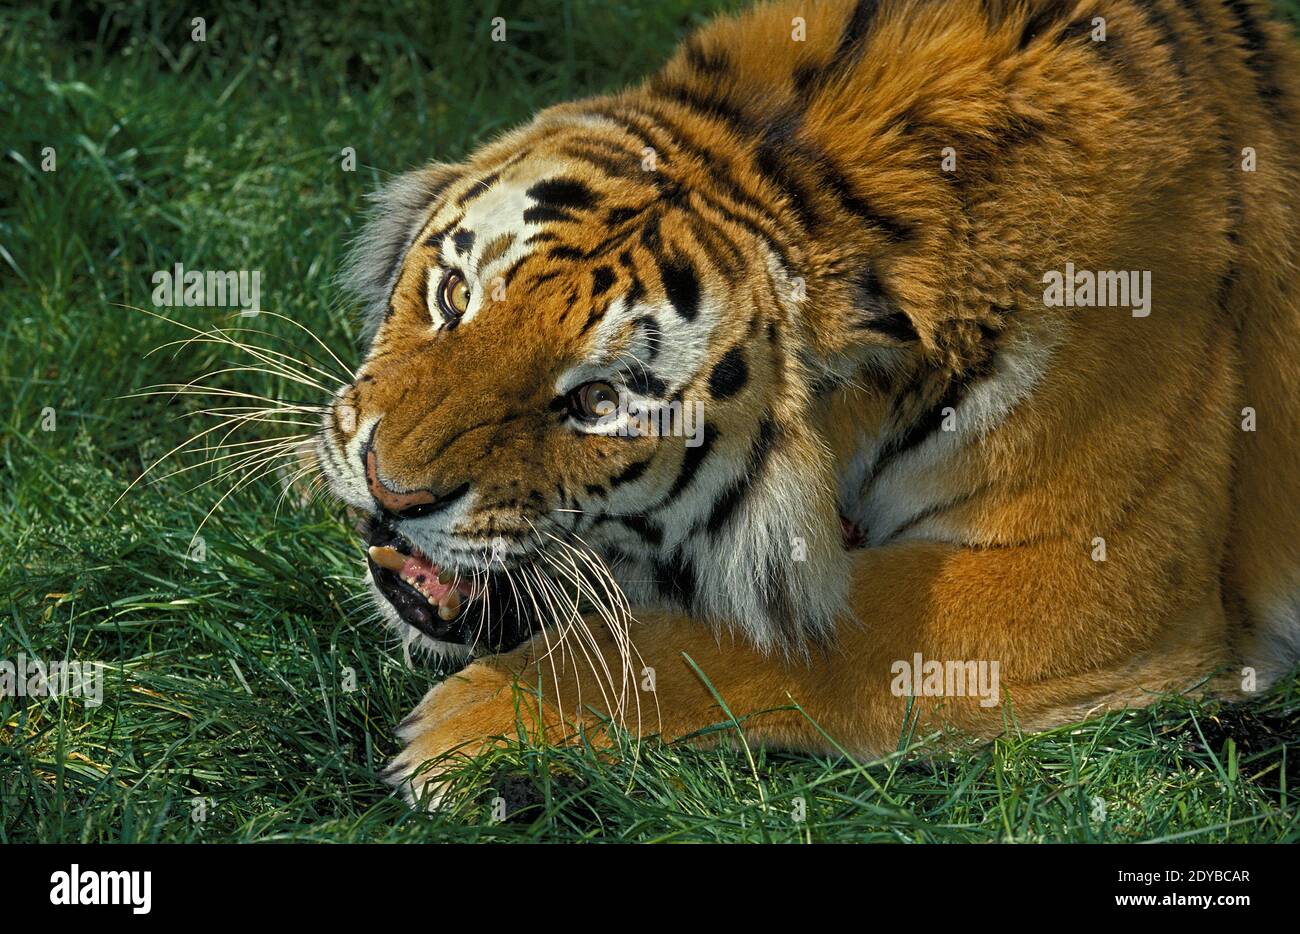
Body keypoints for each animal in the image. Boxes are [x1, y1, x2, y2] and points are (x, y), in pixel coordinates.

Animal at [315, 0, 1300, 807]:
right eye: (453, 295)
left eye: (598, 401)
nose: (389, 488)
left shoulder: (1100, 566)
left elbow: (746, 638)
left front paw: (466, 726)